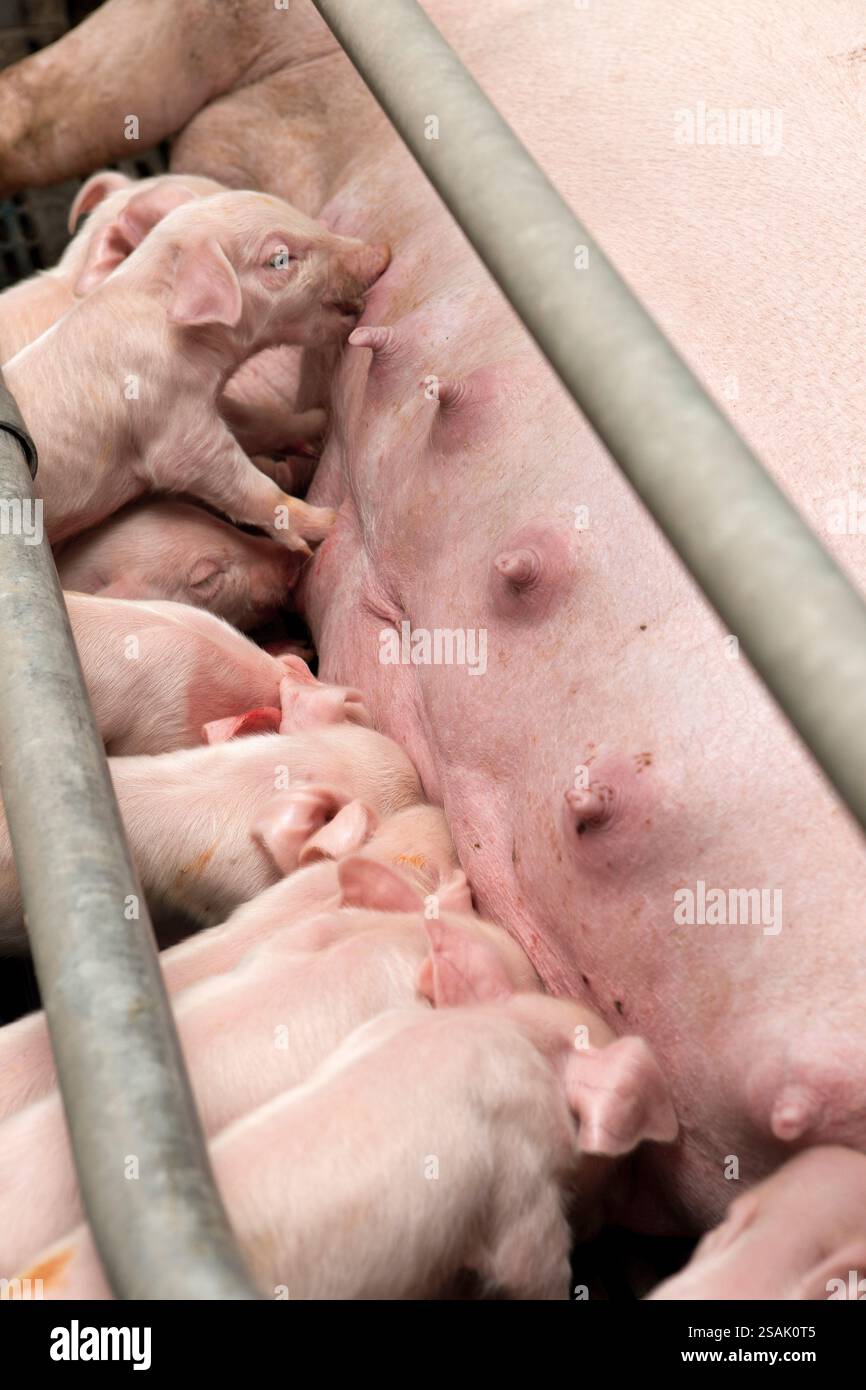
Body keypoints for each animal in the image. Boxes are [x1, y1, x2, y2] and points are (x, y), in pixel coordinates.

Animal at [4, 186, 389, 549]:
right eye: (279, 259)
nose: (381, 252)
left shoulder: (209, 398)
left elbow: (263, 421)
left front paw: (323, 418)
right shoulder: (171, 424)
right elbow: (233, 478)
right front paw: (325, 526)